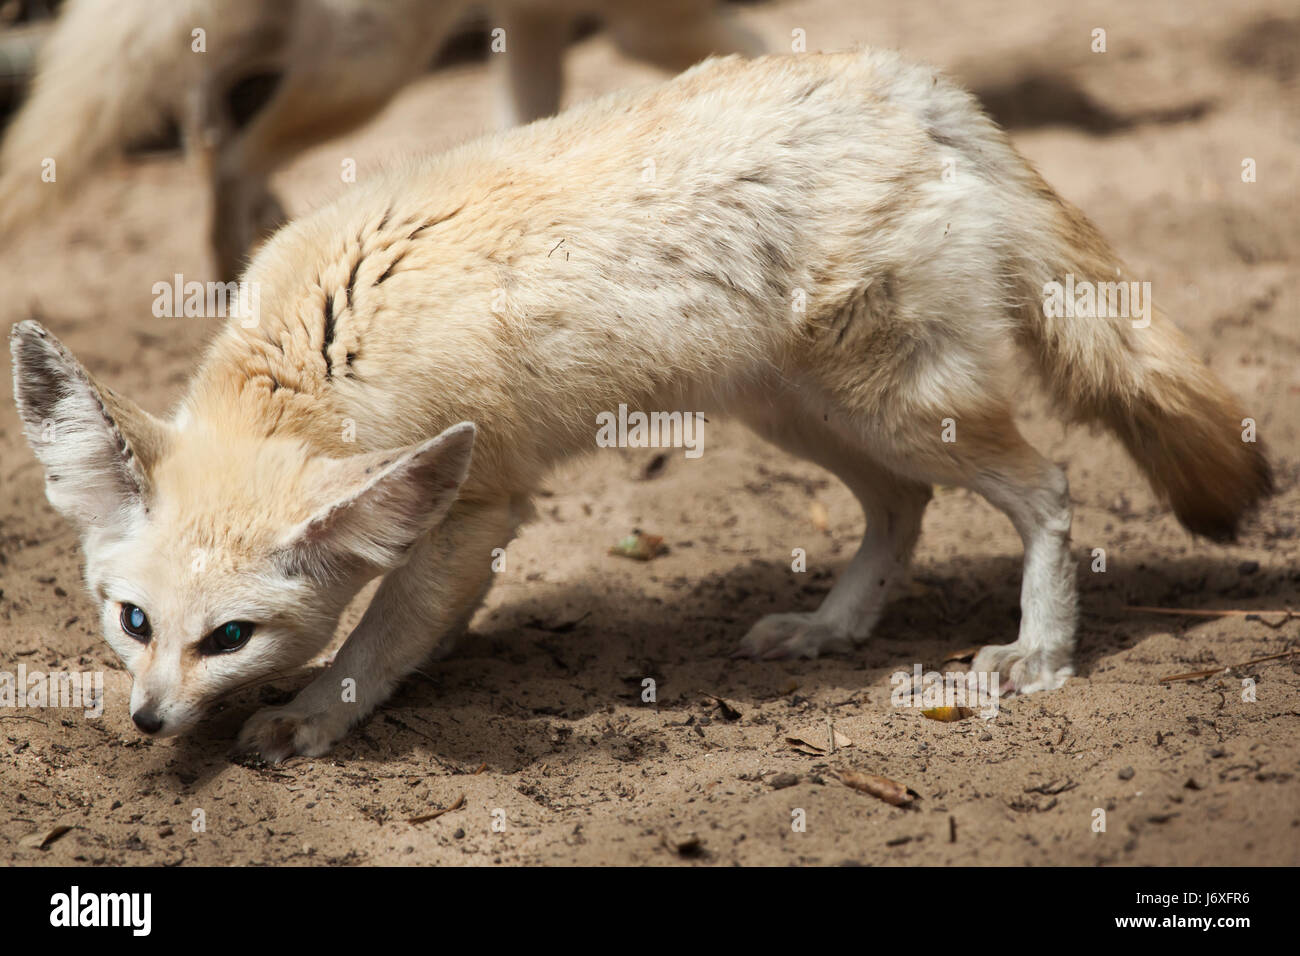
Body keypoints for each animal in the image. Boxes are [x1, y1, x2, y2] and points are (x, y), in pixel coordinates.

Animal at [0, 0, 762, 281]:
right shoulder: (646, 27)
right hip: (371, 72)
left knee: (208, 110)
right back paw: (234, 262)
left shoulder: (533, 24)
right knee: (236, 157)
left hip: (324, 57)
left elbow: (526, 134)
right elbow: (758, 48)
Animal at [11, 49, 1272, 762]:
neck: (319, 361)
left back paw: (1041, 651)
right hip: (807, 414)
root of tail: (897, 79)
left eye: (229, 634)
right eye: (132, 621)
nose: (146, 721)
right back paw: (834, 628)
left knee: (1046, 485)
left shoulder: (476, 511)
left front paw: (316, 713)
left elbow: (379, 641)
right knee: (902, 506)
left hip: (898, 406)